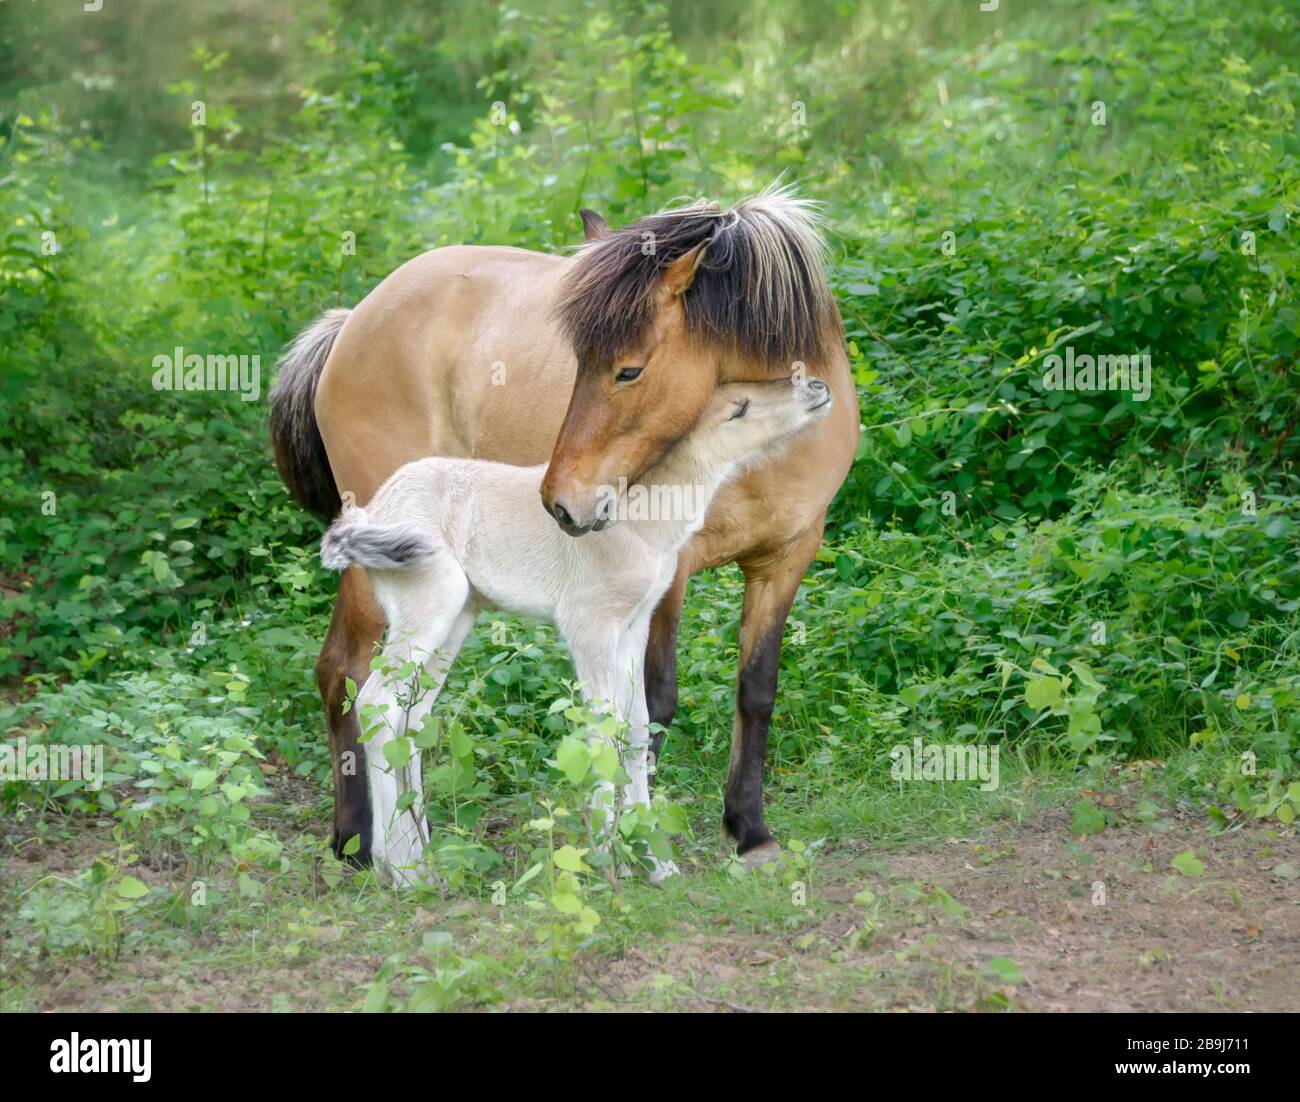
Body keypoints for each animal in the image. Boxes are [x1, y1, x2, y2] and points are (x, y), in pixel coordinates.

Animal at [269, 184, 859, 868]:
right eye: (579, 364)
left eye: (628, 369)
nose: (560, 504)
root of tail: (351, 322)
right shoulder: (664, 583)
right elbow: (652, 704)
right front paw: (635, 844)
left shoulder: (786, 559)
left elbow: (755, 690)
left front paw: (749, 830)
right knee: (349, 674)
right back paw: (362, 843)